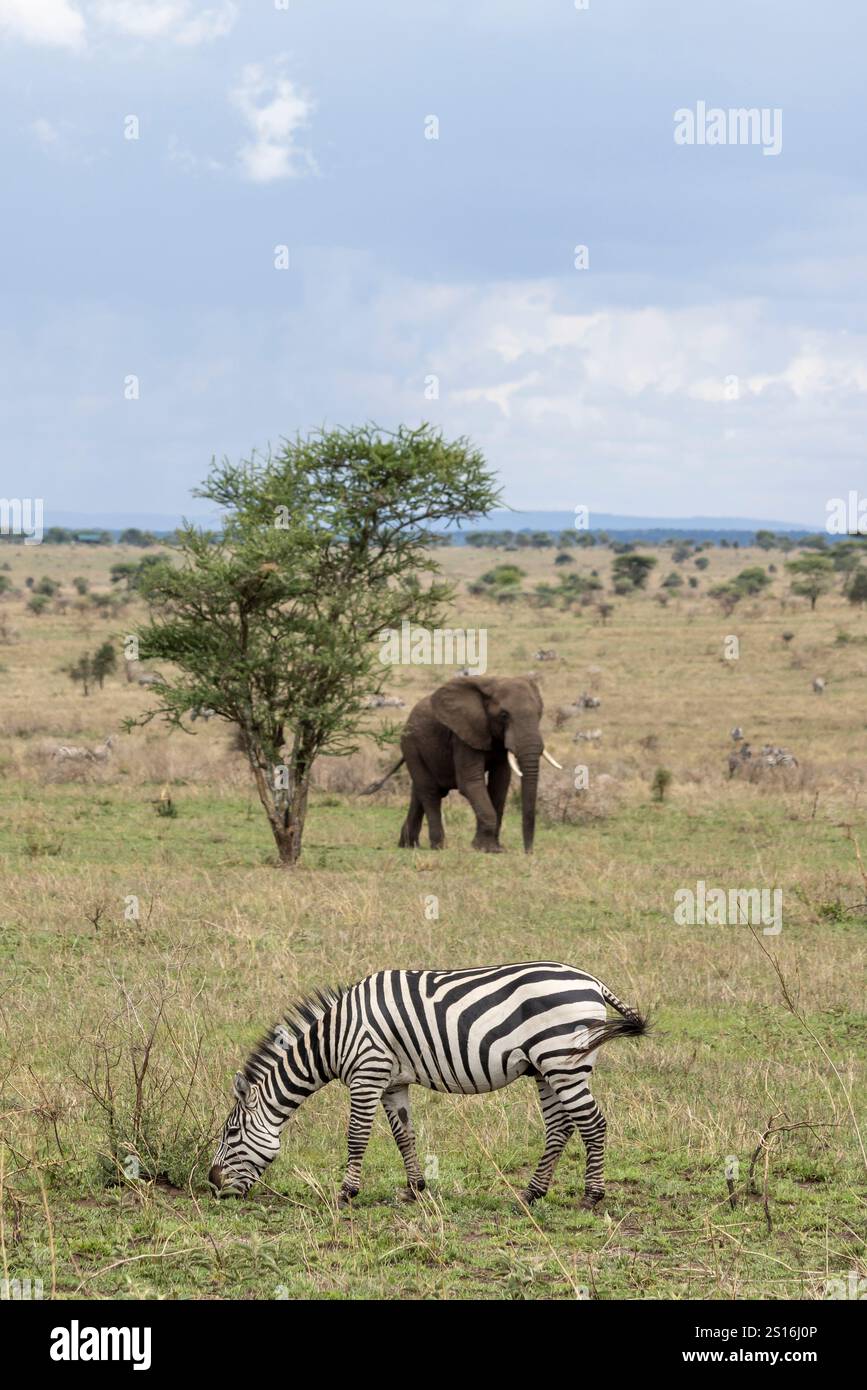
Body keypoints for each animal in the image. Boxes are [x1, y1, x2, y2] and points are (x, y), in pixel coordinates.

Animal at [209, 962, 647, 1211]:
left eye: (230, 1135)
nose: (212, 1184)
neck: (335, 1038)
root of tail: (592, 981)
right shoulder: (392, 1083)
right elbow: (404, 1135)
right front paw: (414, 1190)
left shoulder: (367, 1074)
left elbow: (356, 1137)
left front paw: (345, 1194)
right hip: (547, 1067)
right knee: (560, 1128)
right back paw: (530, 1195)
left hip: (562, 1060)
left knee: (593, 1124)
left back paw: (590, 1197)